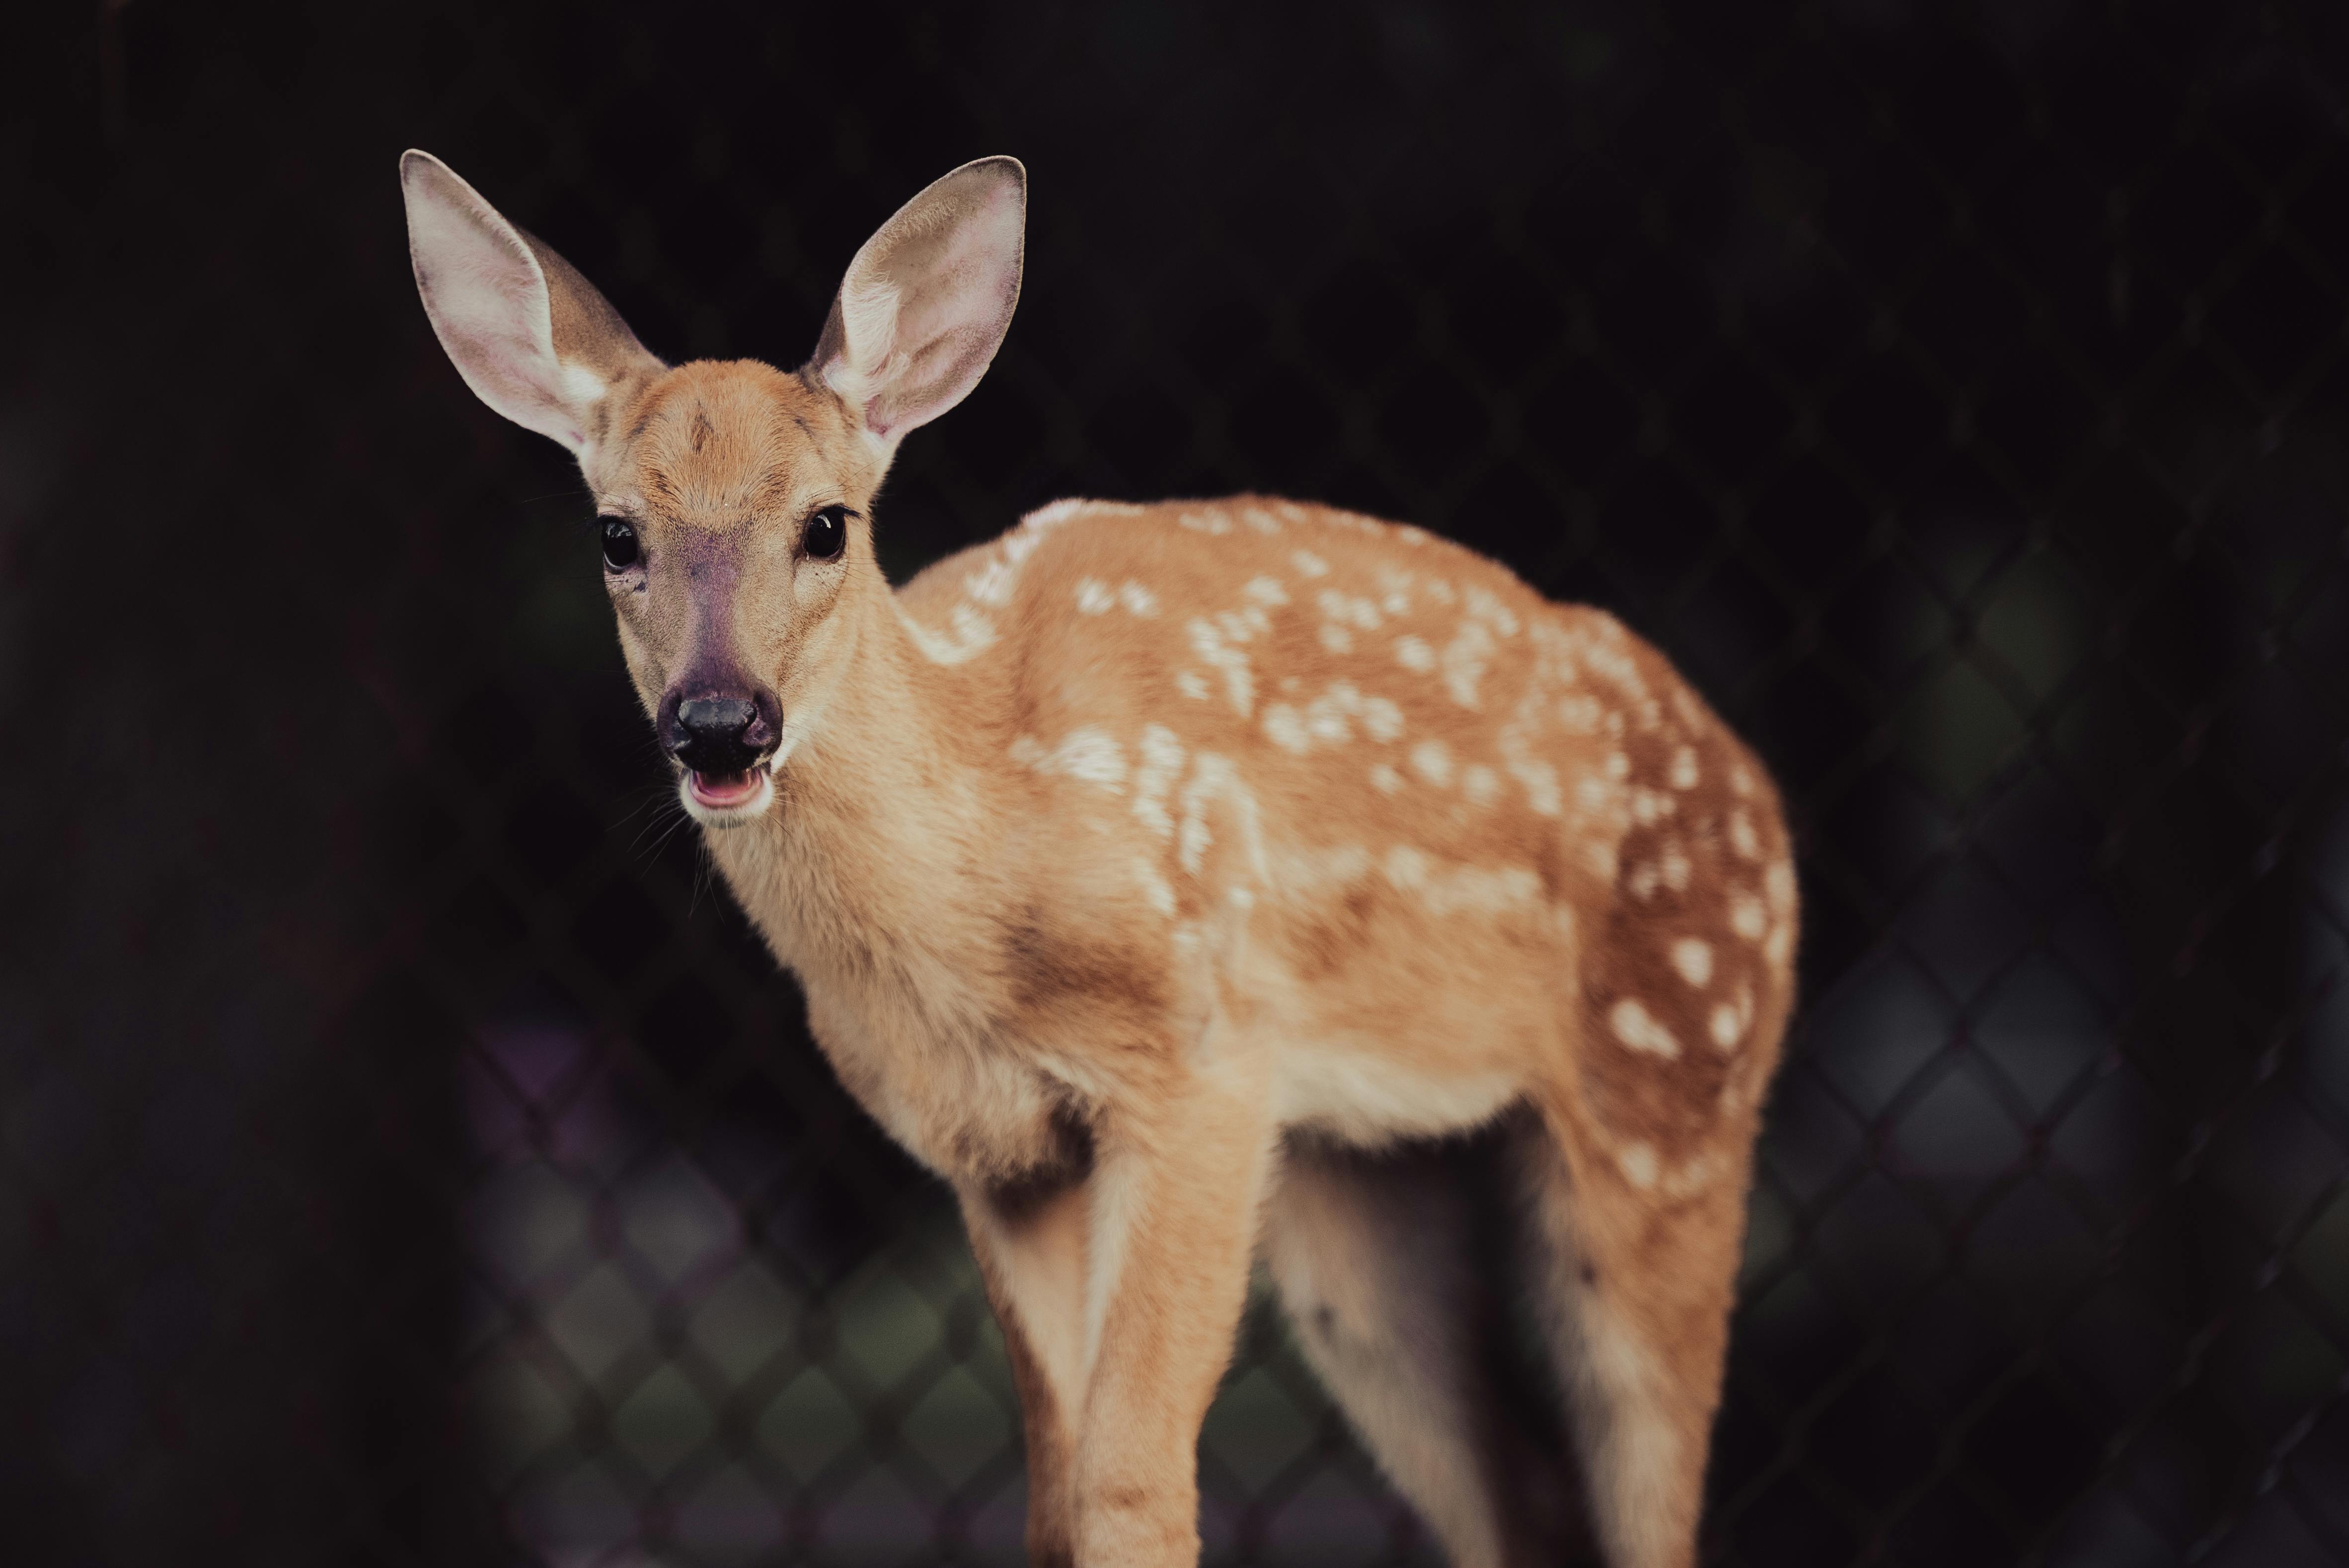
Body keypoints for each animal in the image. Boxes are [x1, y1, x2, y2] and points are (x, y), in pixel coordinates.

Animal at [401, 149, 1797, 1568]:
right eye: (617, 534)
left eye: (828, 524)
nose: (721, 722)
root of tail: (1760, 795)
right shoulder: (997, 1153)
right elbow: (1055, 1492)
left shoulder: (1199, 1059)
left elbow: (1131, 1481)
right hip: (1363, 1179)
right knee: (1522, 1495)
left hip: (1673, 1112)